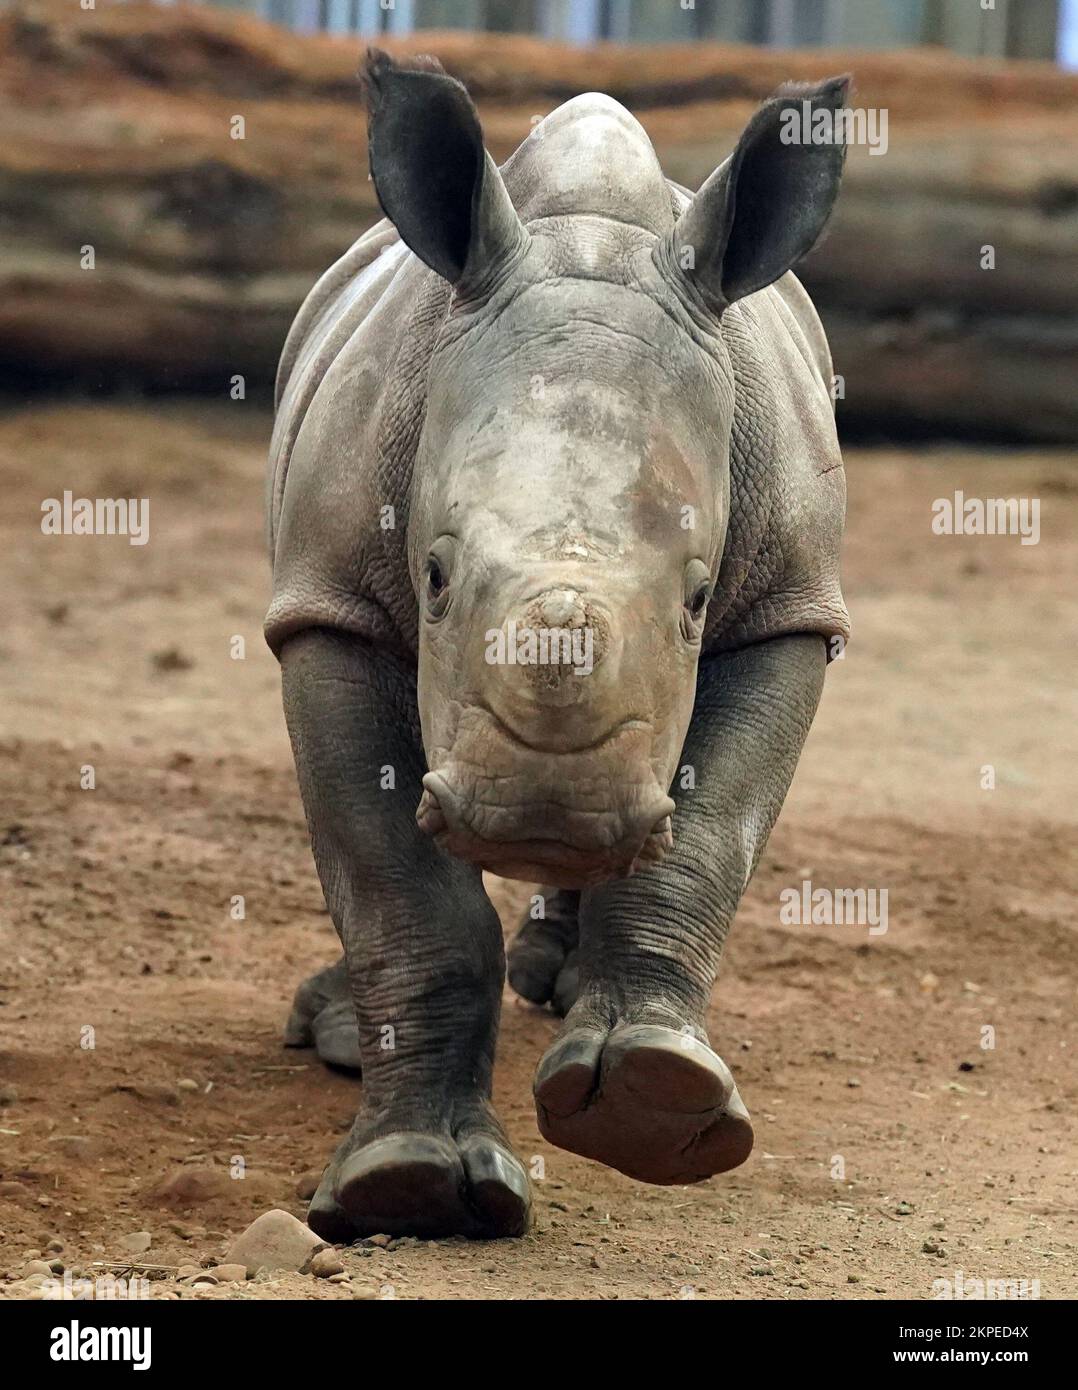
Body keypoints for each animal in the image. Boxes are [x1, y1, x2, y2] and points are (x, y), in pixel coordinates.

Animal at [266, 51, 850, 1240]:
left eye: (698, 597)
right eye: (434, 579)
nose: (547, 814)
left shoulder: (792, 605)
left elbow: (707, 836)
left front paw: (654, 1103)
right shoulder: (326, 598)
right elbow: (398, 885)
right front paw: (412, 1186)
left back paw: (564, 988)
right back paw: (343, 1037)